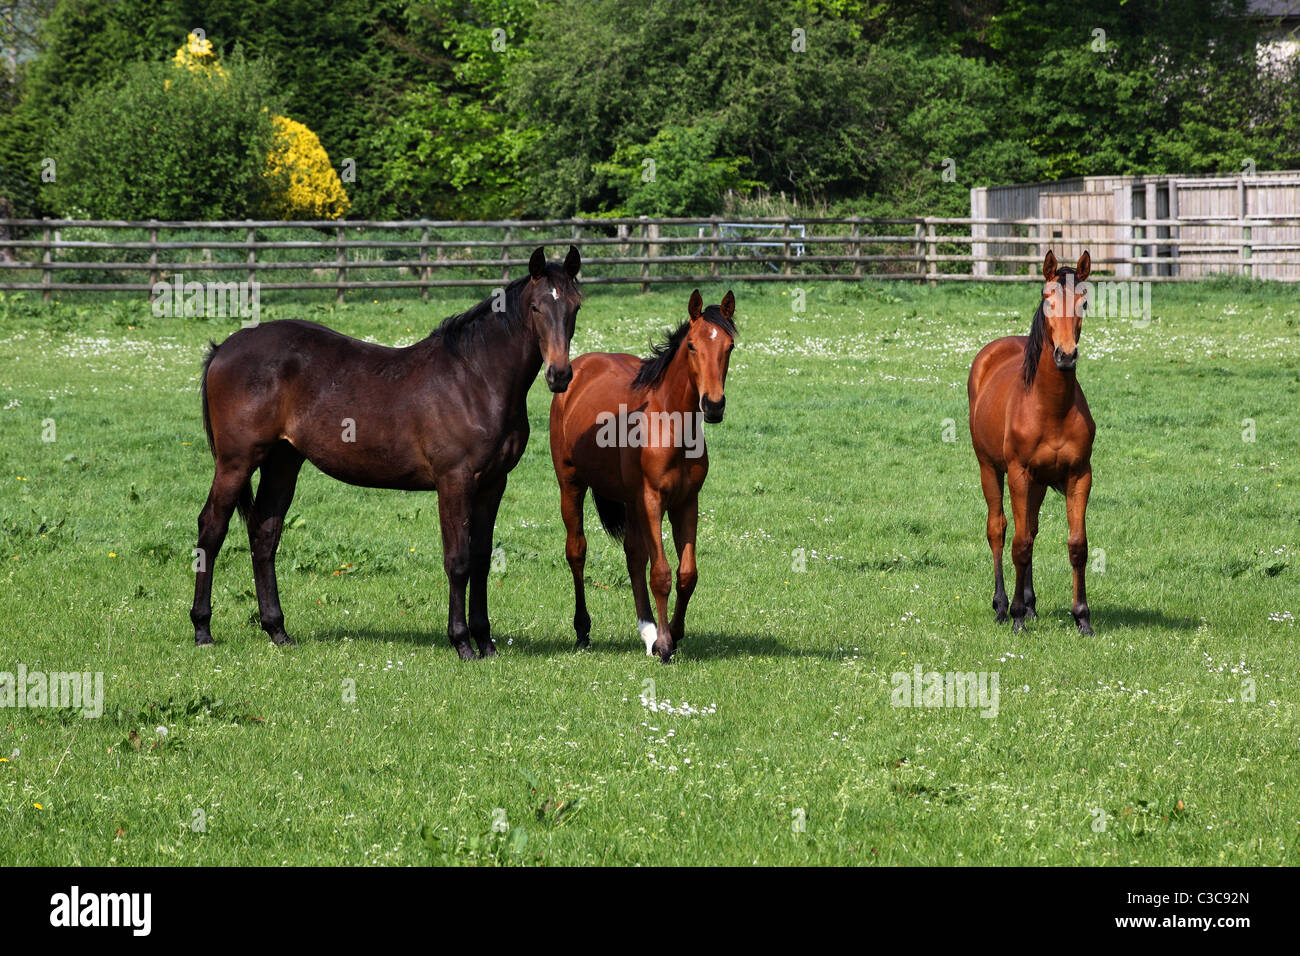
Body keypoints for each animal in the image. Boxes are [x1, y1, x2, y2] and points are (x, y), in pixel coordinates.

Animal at [190, 245, 582, 659]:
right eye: (537, 307)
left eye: (575, 306)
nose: (559, 375)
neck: (475, 379)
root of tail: (222, 350)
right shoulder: (455, 480)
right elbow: (458, 561)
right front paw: (462, 642)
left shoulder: (493, 483)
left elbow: (480, 559)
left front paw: (486, 643)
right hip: (236, 462)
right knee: (211, 529)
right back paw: (203, 629)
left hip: (283, 461)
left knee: (264, 533)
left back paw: (277, 630)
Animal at [549, 289, 736, 663]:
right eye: (691, 346)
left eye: (730, 347)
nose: (713, 405)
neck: (670, 424)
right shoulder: (652, 499)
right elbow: (661, 572)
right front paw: (665, 645)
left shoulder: (685, 502)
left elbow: (686, 573)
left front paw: (672, 633)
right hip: (572, 485)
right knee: (577, 551)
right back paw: (583, 630)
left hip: (630, 500)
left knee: (634, 555)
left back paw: (647, 629)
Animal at [968, 250, 1096, 635]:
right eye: (1047, 299)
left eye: (1084, 302)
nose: (1066, 355)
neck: (1050, 407)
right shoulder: (1019, 474)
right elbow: (1019, 544)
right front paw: (1016, 619)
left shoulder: (1079, 476)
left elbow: (1077, 545)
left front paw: (1082, 617)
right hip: (990, 469)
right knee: (999, 530)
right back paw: (1003, 606)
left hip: (1038, 483)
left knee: (1032, 529)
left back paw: (1031, 604)